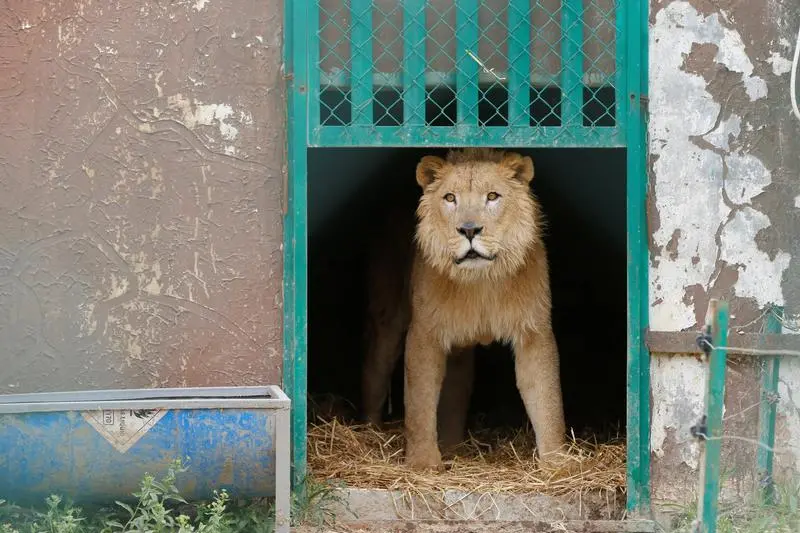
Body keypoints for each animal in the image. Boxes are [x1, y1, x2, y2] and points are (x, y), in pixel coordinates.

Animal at [361, 148, 568, 471]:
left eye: (493, 196)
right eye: (450, 198)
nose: (469, 230)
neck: (480, 280)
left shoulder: (533, 331)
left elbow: (547, 397)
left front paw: (558, 463)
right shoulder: (425, 333)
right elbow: (419, 400)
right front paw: (422, 463)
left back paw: (452, 445)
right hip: (387, 320)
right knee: (375, 372)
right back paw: (370, 432)